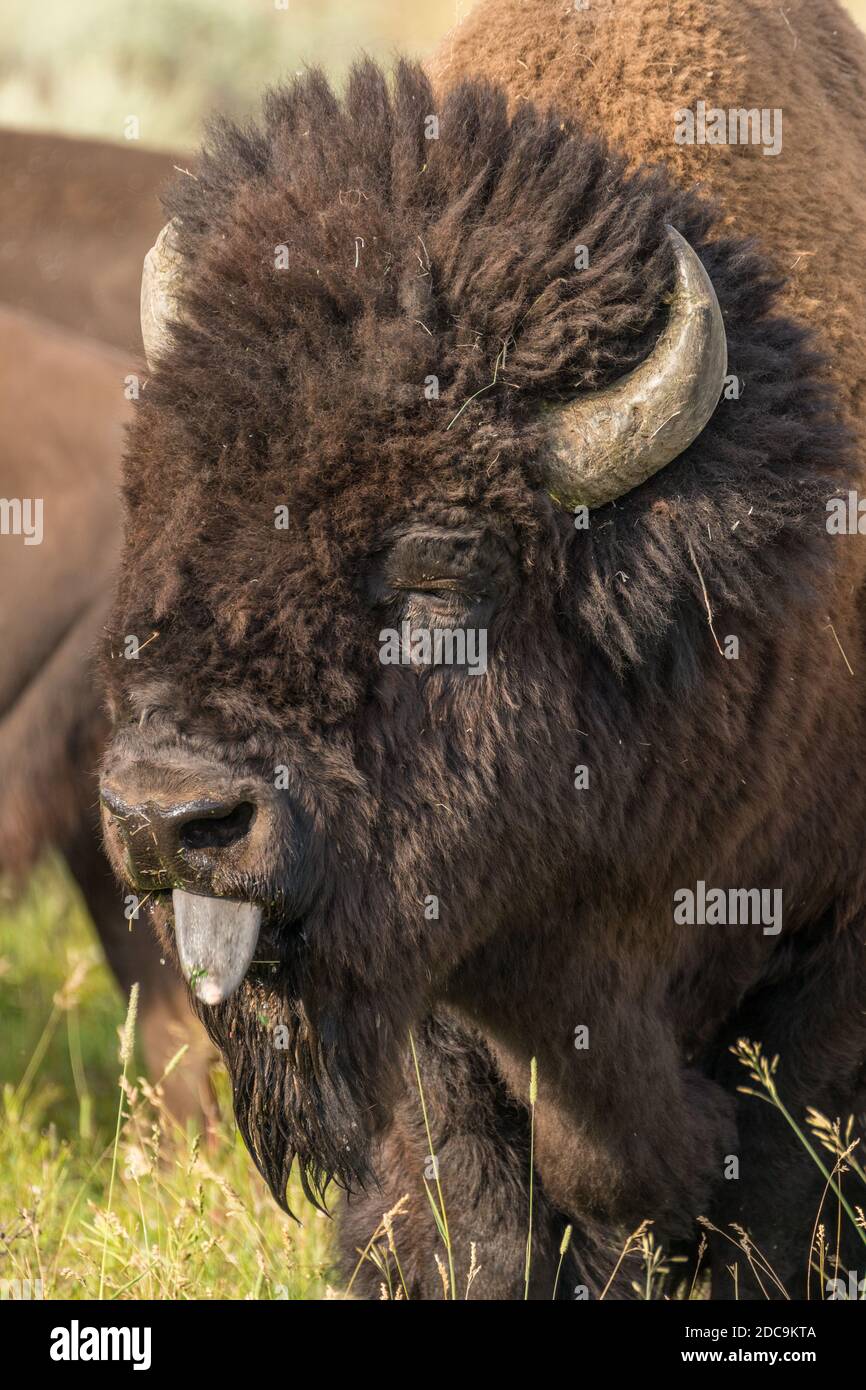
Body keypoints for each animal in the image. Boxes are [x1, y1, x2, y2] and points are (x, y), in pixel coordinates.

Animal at [98, 0, 866, 1298]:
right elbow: (480, 1194)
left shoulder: (823, 961)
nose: (168, 814)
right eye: (157, 511)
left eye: (438, 565)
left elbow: (772, 1189)